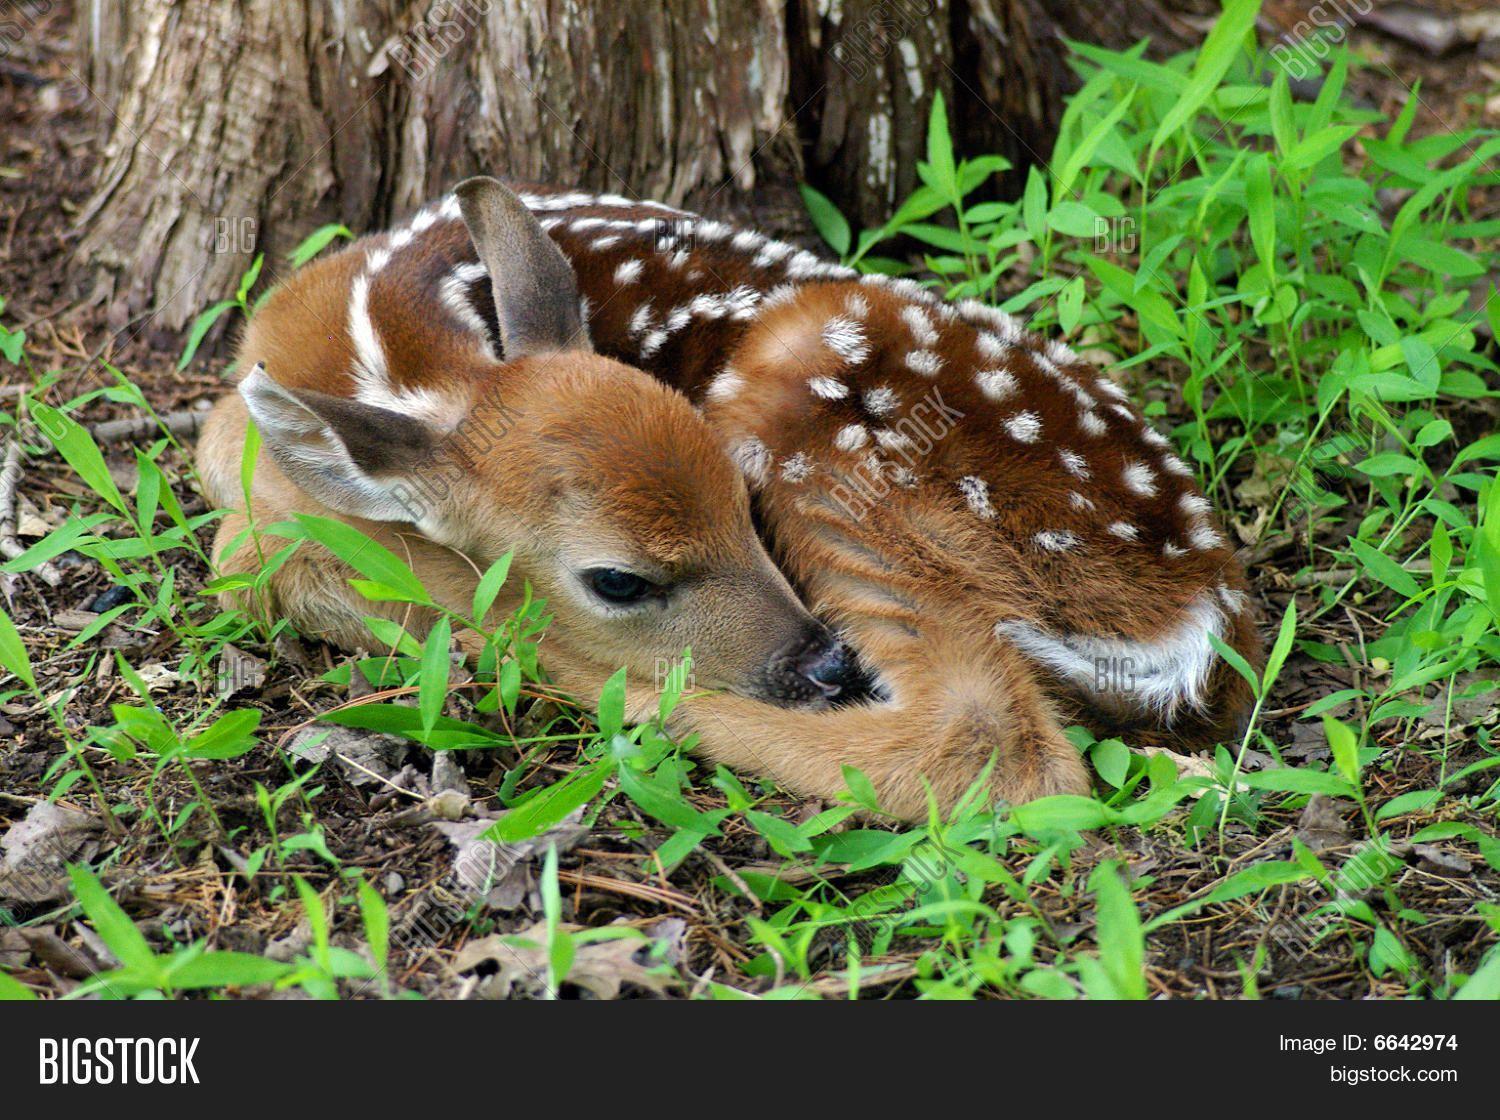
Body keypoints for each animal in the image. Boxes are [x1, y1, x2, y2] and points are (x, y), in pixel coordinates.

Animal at [196, 176, 1260, 823]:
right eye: (618, 580)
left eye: (743, 505)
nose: (824, 663)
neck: (382, 351)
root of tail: (1207, 602)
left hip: (808, 401)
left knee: (984, 738)